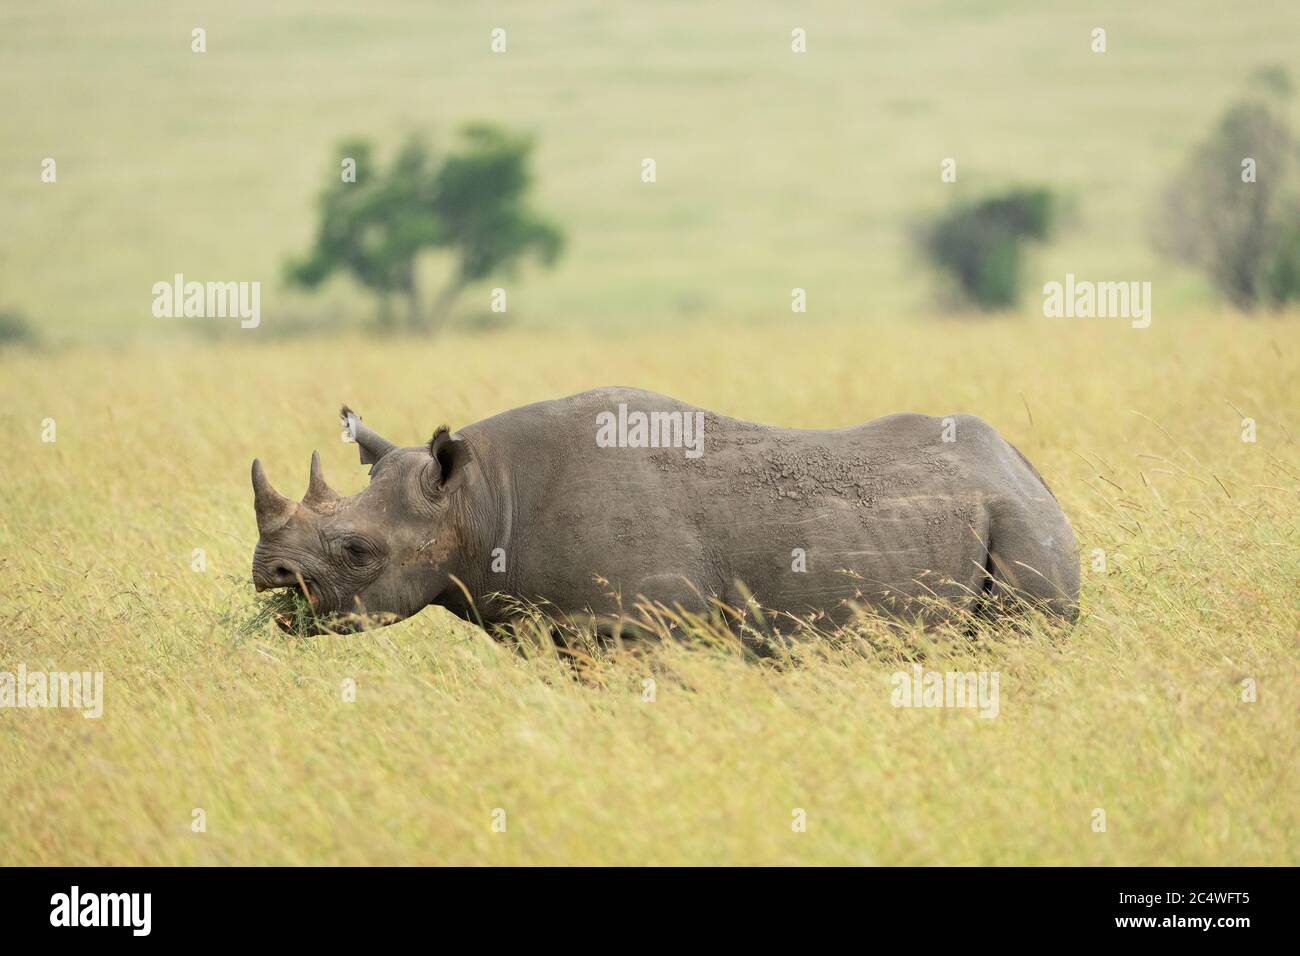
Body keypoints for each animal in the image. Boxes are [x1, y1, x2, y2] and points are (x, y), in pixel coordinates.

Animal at [248, 390, 1081, 642]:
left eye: (358, 550)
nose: (269, 578)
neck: (479, 499)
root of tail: (1027, 469)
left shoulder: (650, 631)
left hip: (1024, 525)